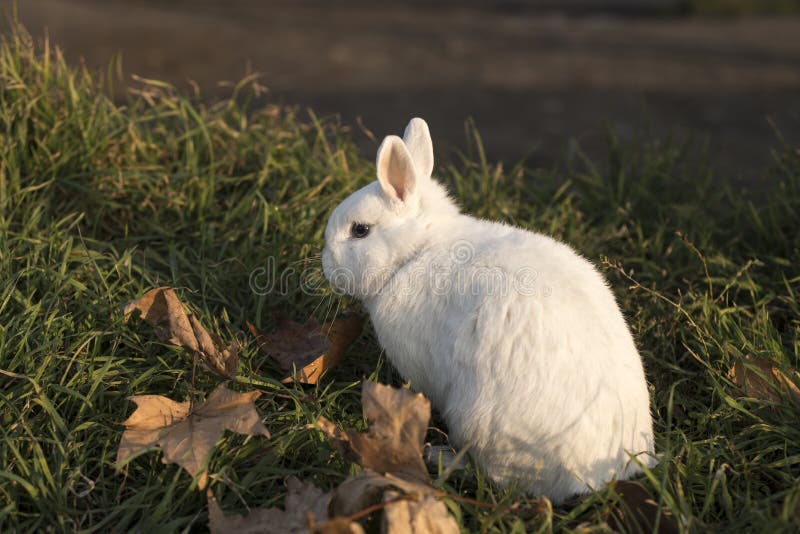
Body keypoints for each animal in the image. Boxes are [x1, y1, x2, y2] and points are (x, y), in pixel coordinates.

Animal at [321, 118, 655, 504]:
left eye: (360, 230)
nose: (325, 262)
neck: (417, 251)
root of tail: (599, 474)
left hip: (476, 420)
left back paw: (439, 456)